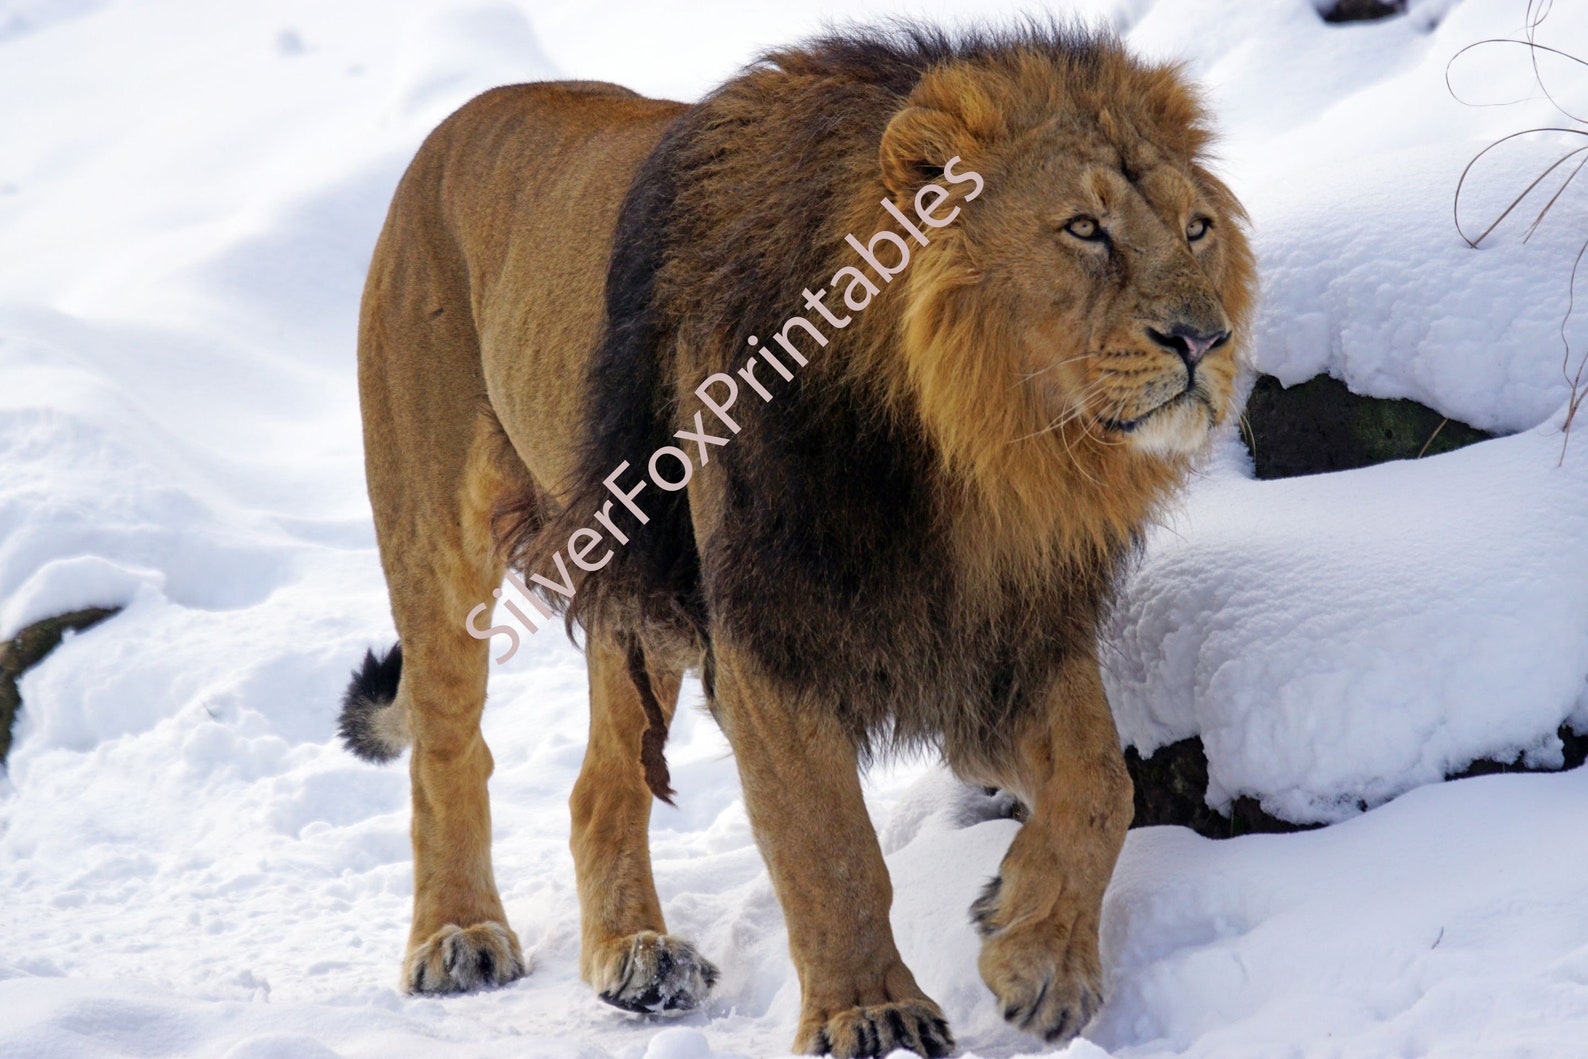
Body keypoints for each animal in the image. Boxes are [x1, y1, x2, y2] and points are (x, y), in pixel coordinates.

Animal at [337, 23, 1253, 1059]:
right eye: (1084, 228)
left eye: (1197, 229)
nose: (1205, 338)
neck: (974, 454)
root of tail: (450, 129)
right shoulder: (768, 631)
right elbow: (831, 845)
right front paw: (874, 1013)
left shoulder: (1008, 629)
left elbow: (1101, 782)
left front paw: (1037, 954)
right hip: (435, 540)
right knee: (448, 749)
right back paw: (458, 938)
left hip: (635, 589)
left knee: (599, 787)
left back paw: (639, 958)